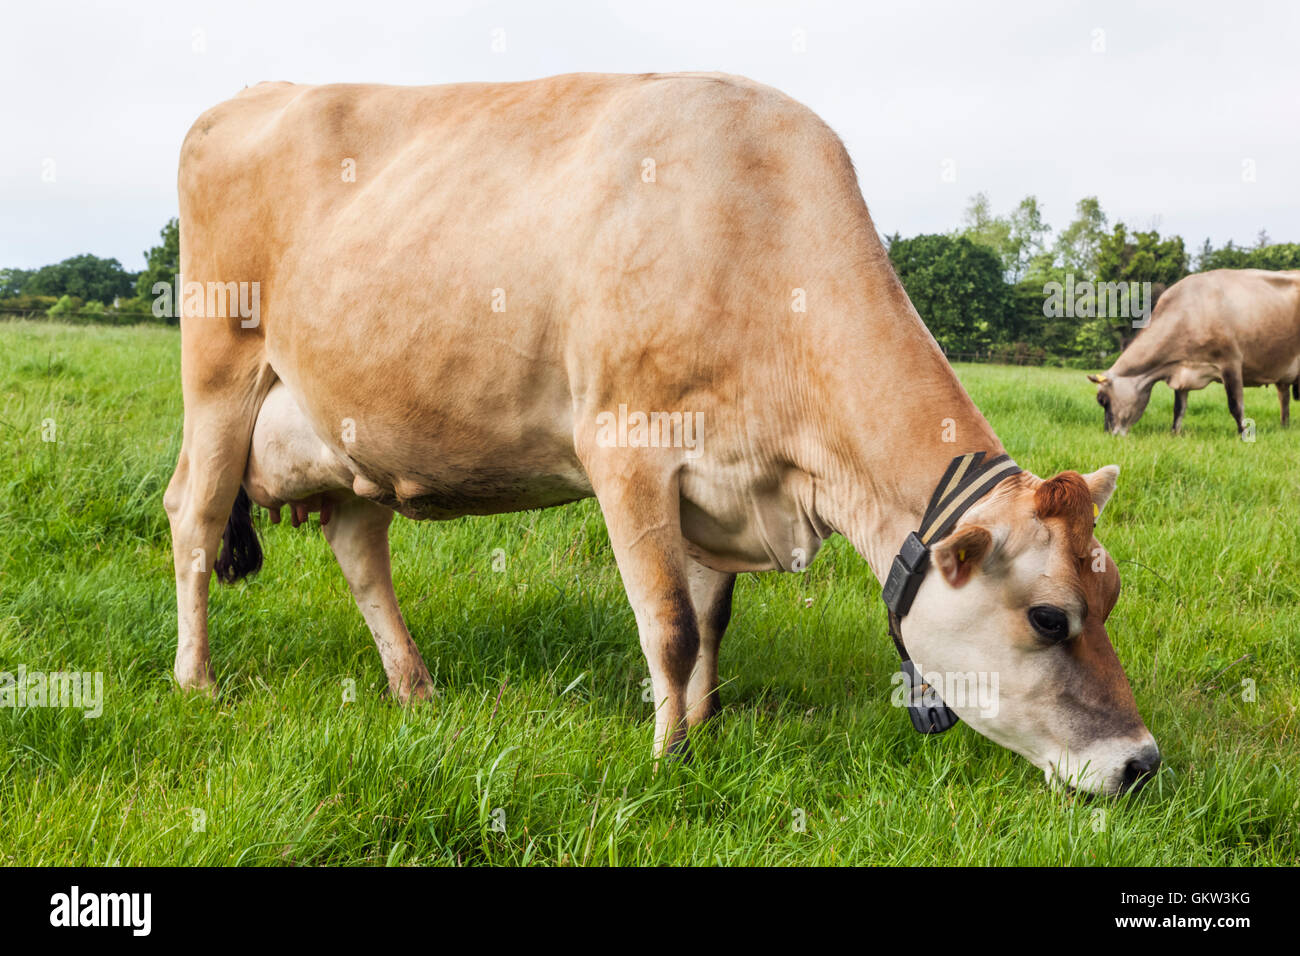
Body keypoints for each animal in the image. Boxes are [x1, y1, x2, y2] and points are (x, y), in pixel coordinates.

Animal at [166, 72, 1159, 795]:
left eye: (1110, 596)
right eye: (1049, 616)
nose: (1141, 764)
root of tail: (242, 99)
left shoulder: (721, 483)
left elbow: (712, 614)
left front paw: (705, 723)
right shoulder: (626, 448)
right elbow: (670, 622)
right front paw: (667, 758)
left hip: (351, 434)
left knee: (358, 545)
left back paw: (414, 689)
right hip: (219, 369)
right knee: (194, 518)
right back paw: (196, 682)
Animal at [1088, 269, 1300, 435]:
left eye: (1102, 400)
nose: (1109, 434)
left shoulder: (1231, 363)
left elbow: (1235, 405)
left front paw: (1243, 434)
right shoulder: (1181, 370)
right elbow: (1178, 409)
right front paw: (1174, 434)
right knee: (1284, 398)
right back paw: (1284, 427)